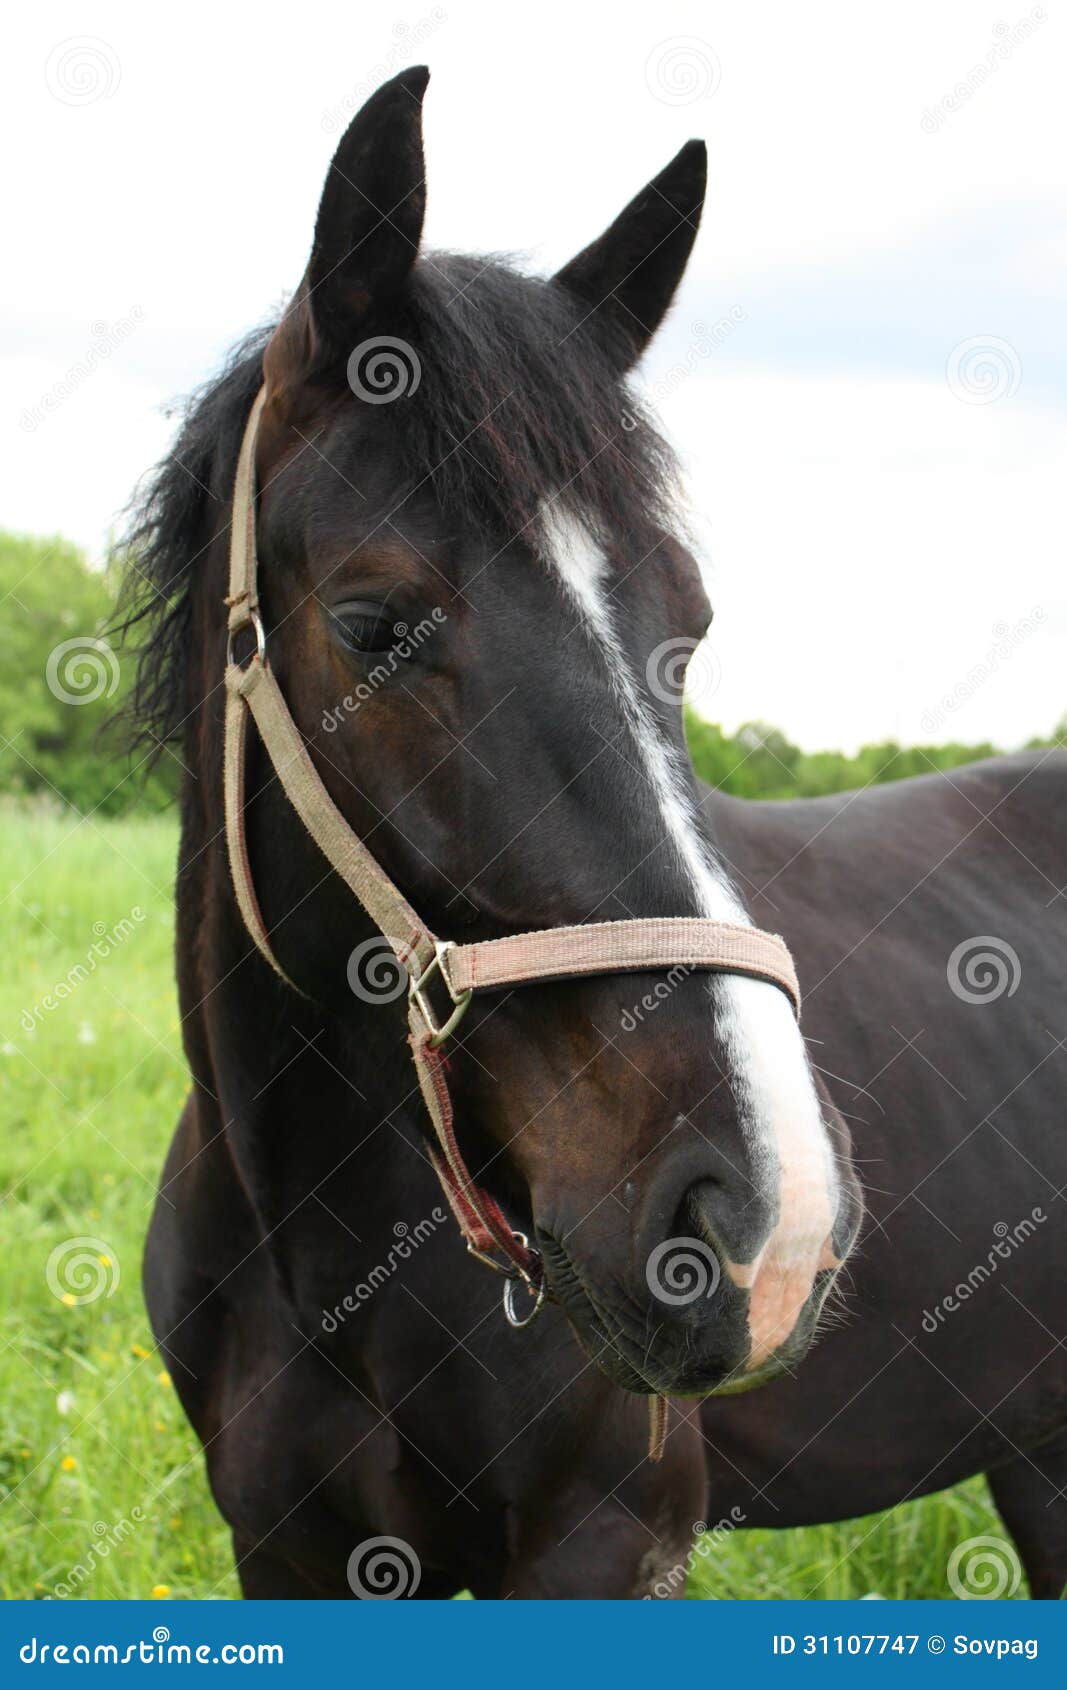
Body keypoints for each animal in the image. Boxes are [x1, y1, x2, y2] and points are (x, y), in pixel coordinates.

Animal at [126, 67, 1065, 1598]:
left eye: (687, 623)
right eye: (373, 624)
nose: (765, 1225)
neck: (314, 1240)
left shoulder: (603, 1539)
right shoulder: (284, 1543)